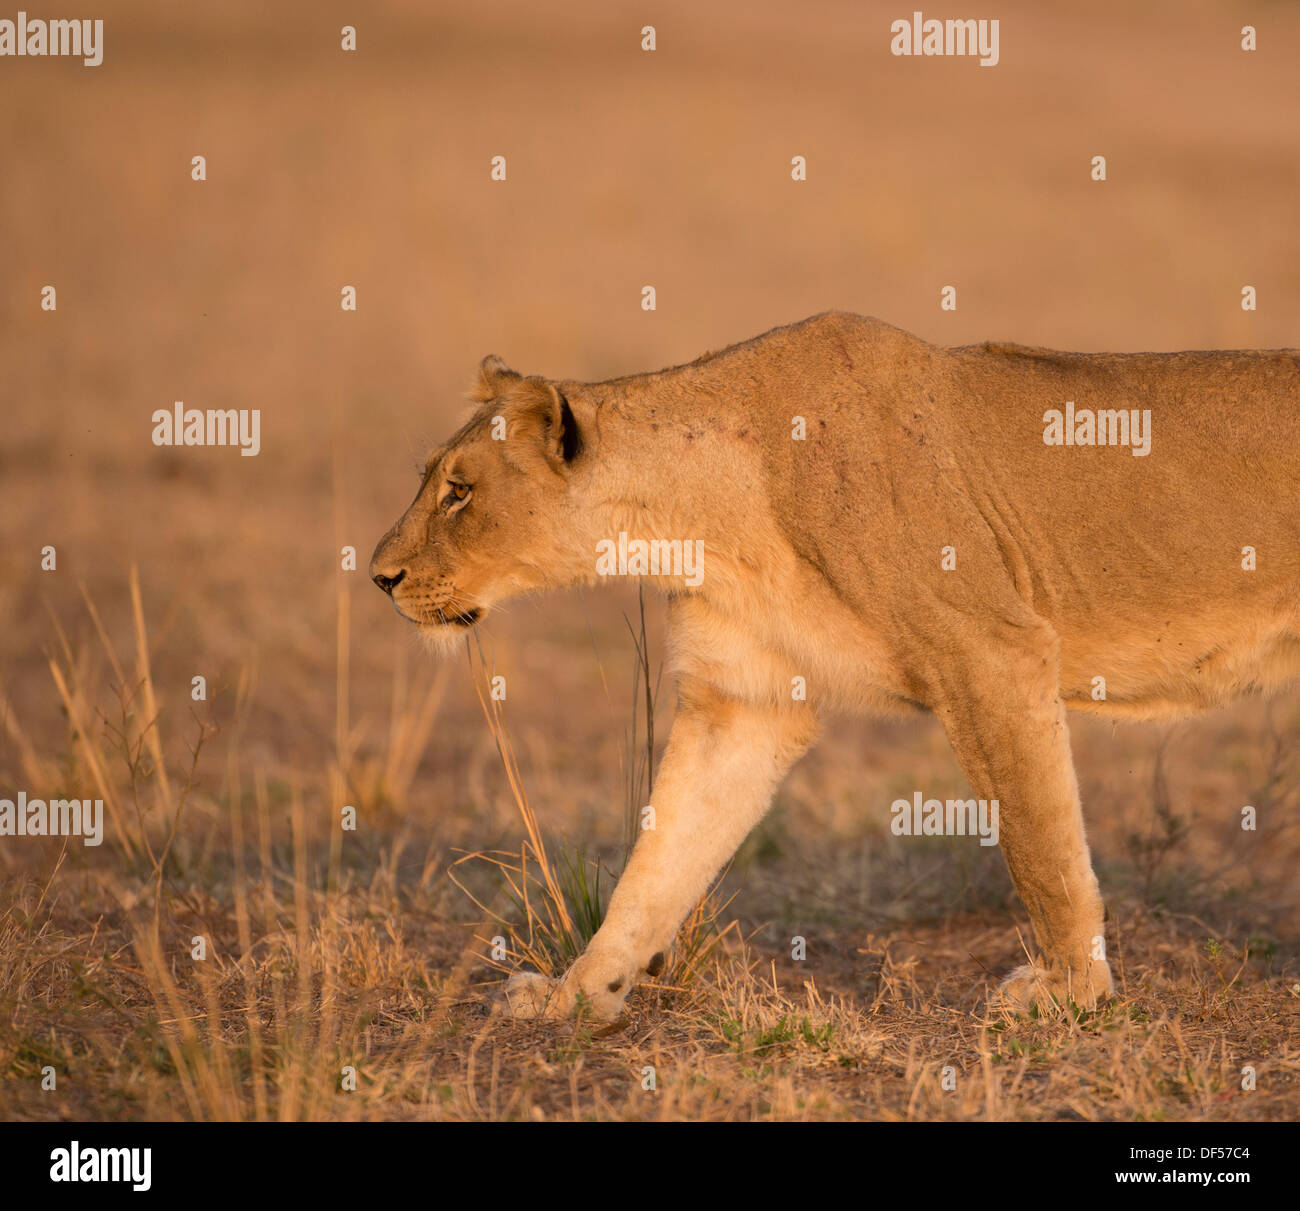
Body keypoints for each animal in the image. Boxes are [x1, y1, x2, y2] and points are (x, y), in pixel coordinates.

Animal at [370, 311, 1300, 1019]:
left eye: (459, 491)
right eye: (433, 481)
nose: (379, 576)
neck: (698, 519)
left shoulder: (992, 649)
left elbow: (1042, 845)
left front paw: (1070, 991)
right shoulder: (743, 701)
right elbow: (657, 866)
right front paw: (576, 995)